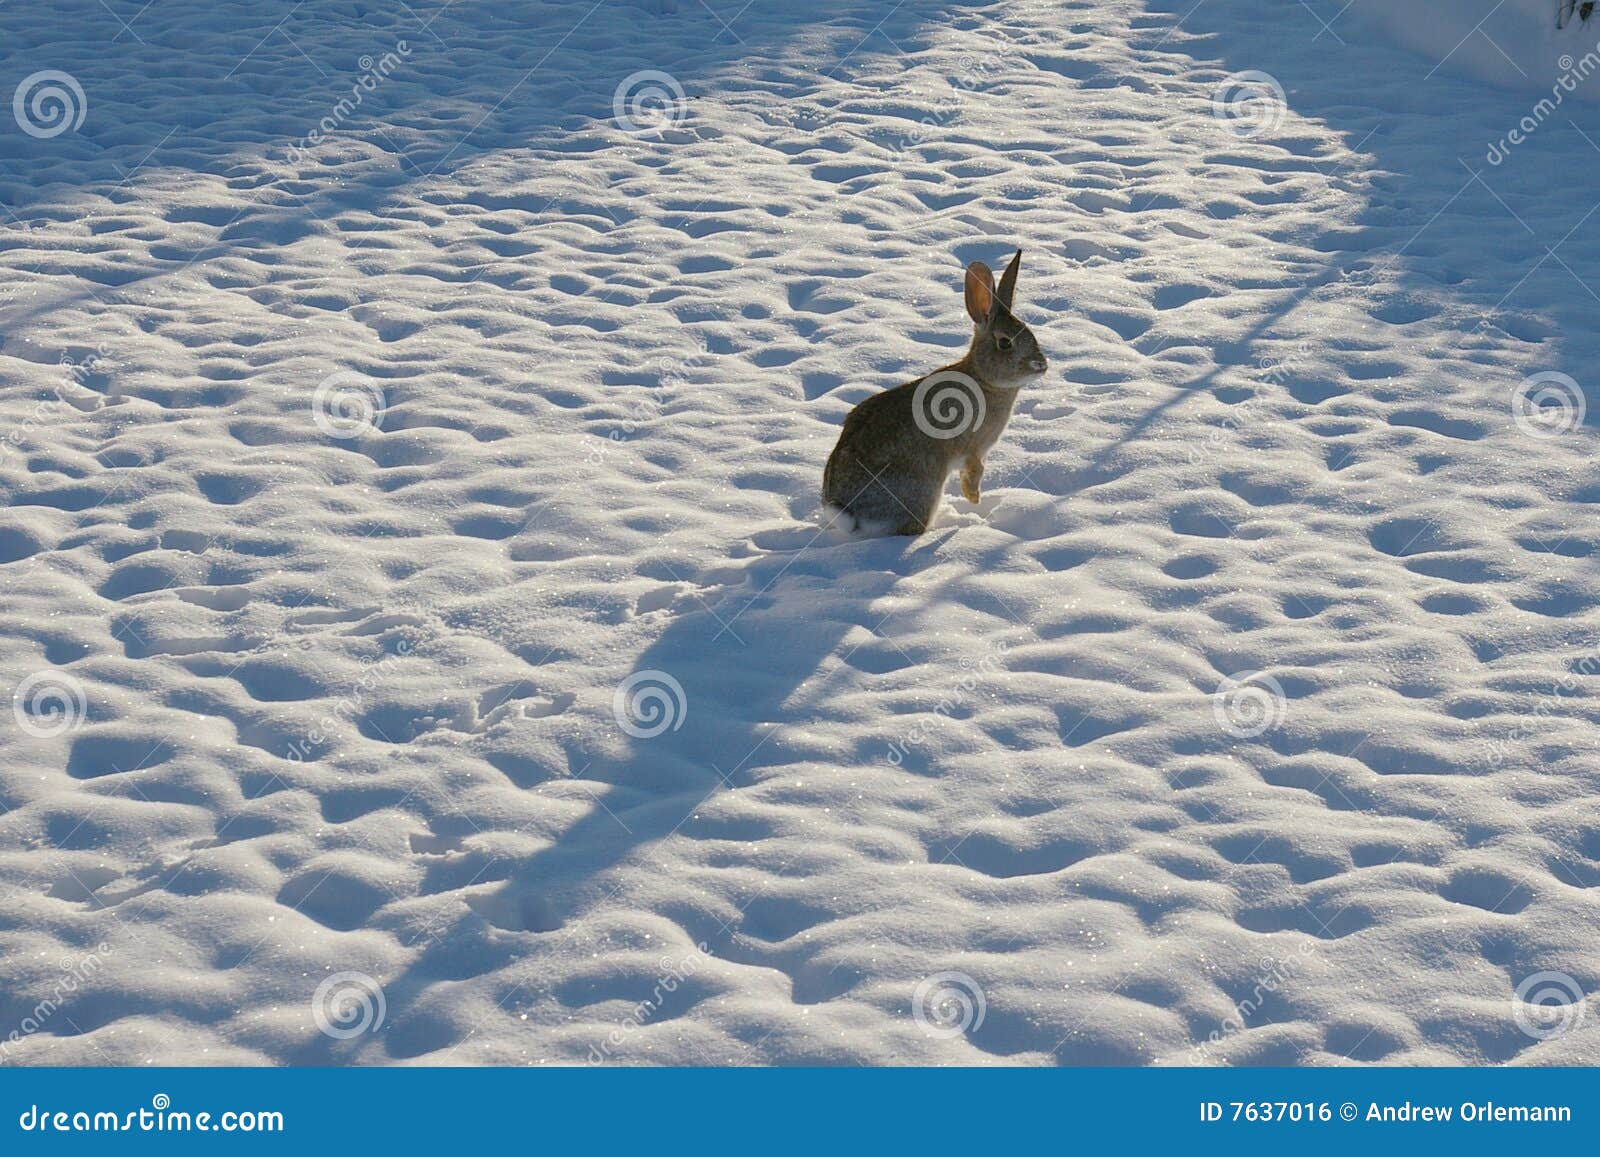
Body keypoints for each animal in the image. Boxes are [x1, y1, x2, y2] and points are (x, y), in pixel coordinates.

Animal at [823, 250, 1047, 536]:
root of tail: (849, 513)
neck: (985, 379)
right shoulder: (973, 449)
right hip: (924, 491)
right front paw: (975, 501)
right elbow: (974, 473)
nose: (1041, 365)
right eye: (1005, 343)